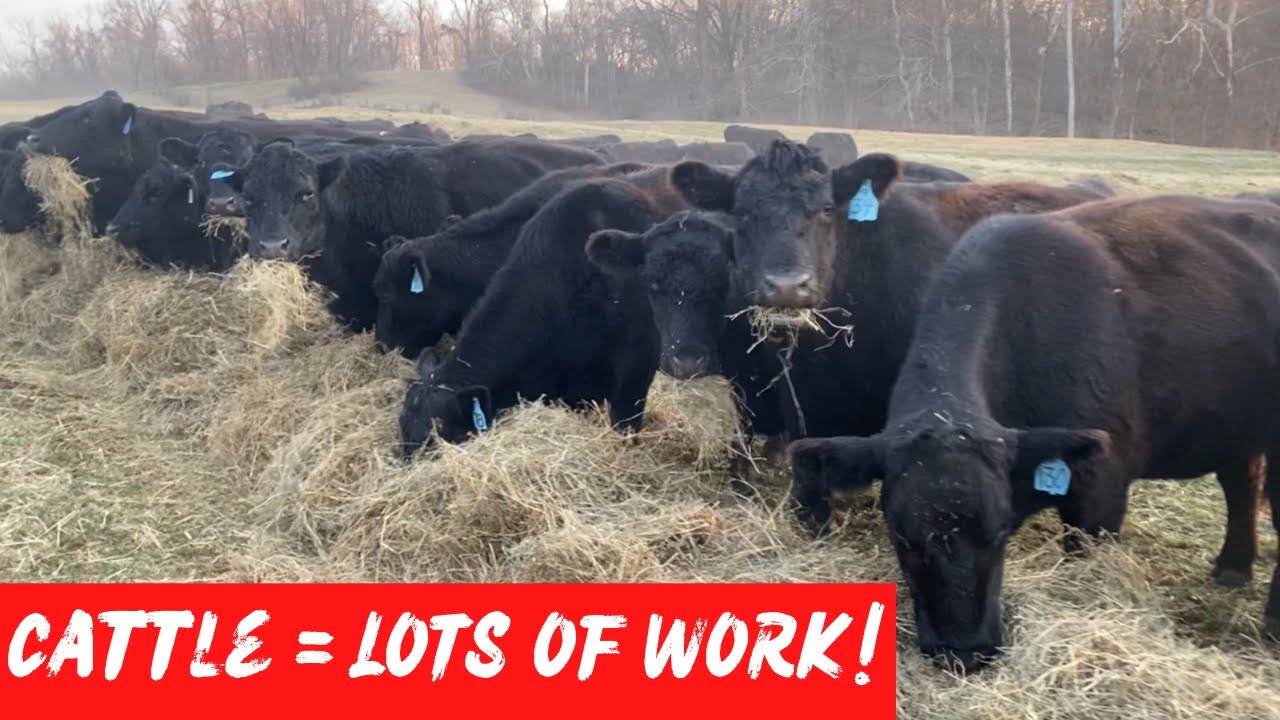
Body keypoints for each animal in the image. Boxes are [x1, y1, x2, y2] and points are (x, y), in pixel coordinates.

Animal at [788, 195, 1280, 671]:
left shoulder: (1100, 492)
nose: (963, 651)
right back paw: (1233, 568)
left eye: (1000, 531)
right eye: (902, 537)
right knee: (1241, 482)